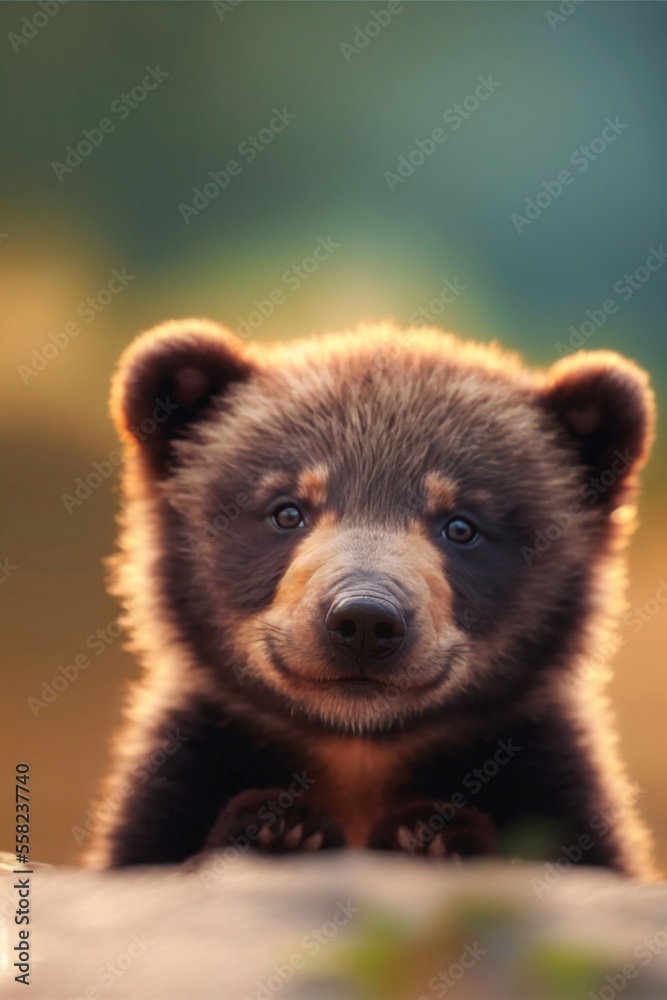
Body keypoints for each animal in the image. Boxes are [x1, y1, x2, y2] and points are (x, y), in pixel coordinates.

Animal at [86, 318, 657, 877]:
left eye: (461, 525)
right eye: (286, 510)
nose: (364, 618)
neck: (358, 747)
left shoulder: (545, 773)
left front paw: (431, 833)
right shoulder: (189, 766)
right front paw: (279, 827)